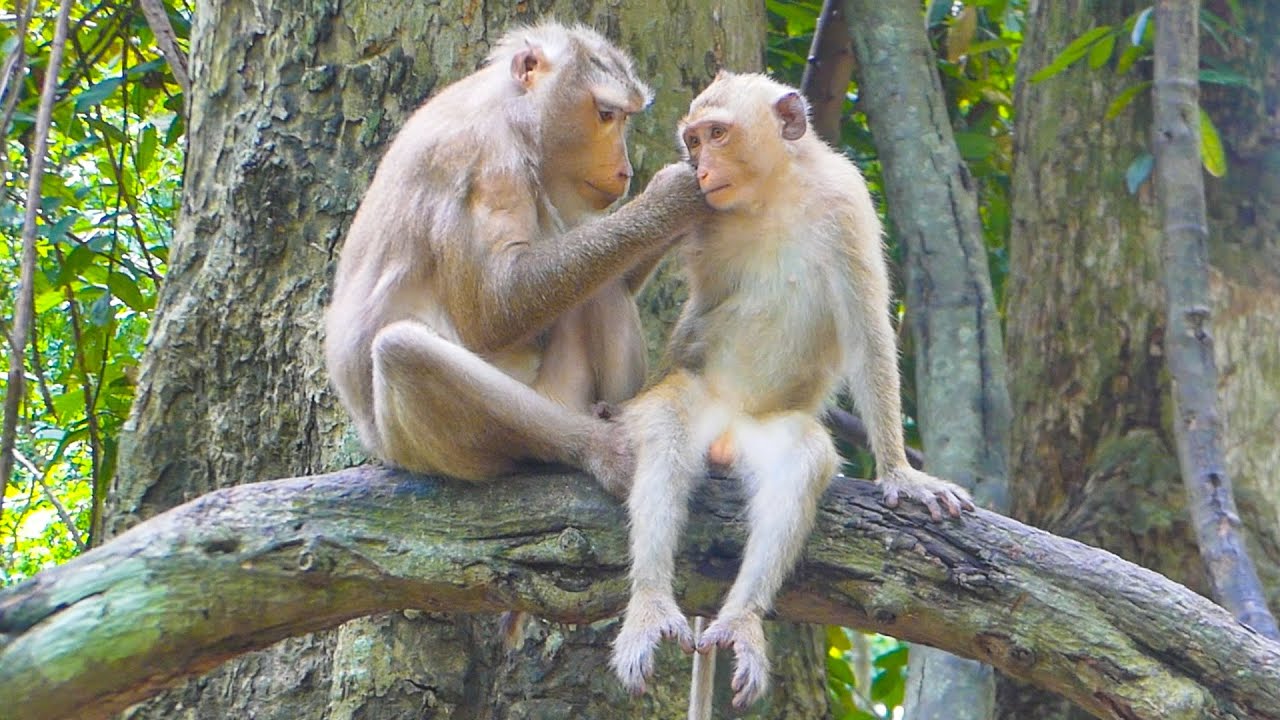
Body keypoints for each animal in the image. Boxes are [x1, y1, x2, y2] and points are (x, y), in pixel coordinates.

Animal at [324, 22, 710, 497]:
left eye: (624, 117)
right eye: (606, 114)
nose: (624, 170)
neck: (511, 107)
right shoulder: (486, 161)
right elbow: (492, 309)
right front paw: (672, 199)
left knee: (601, 285)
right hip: (429, 450)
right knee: (402, 350)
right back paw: (595, 446)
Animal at [606, 72, 975, 714]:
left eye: (717, 134)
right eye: (693, 141)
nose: (700, 168)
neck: (770, 195)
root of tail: (727, 433)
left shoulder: (845, 201)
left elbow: (867, 330)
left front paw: (901, 474)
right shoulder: (702, 215)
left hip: (766, 431)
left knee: (801, 460)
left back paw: (741, 620)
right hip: (696, 398)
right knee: (666, 432)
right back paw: (651, 603)